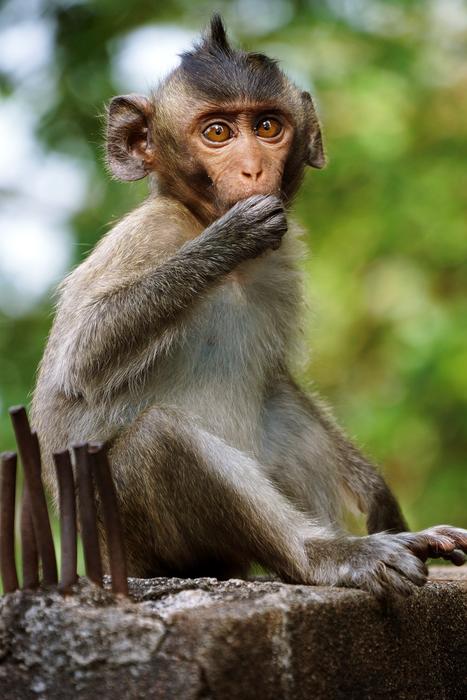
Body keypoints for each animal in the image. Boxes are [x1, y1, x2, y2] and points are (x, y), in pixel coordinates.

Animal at [31, 15, 467, 597]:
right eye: (217, 133)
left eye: (267, 127)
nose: (254, 170)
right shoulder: (149, 235)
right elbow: (83, 358)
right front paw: (227, 240)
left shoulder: (281, 266)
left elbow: (280, 379)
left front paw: (380, 496)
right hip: (134, 537)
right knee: (161, 438)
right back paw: (327, 555)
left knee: (283, 411)